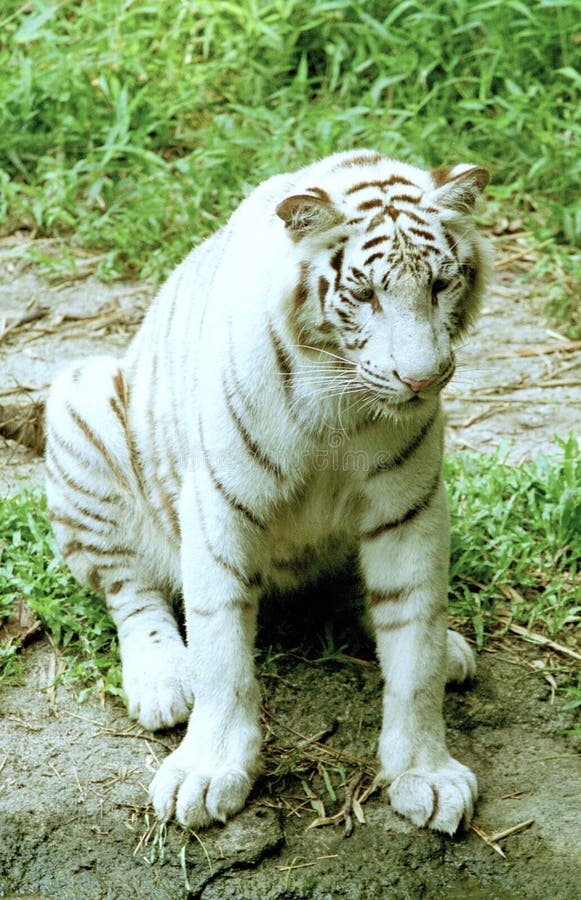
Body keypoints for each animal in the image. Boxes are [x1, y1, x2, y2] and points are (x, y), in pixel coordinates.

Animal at [45, 149, 492, 835]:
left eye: (441, 285)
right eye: (364, 294)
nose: (420, 379)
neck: (343, 406)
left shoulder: (409, 510)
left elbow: (414, 645)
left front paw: (426, 772)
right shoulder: (219, 506)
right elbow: (221, 654)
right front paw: (206, 773)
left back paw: (453, 651)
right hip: (82, 403)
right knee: (132, 594)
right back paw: (163, 683)